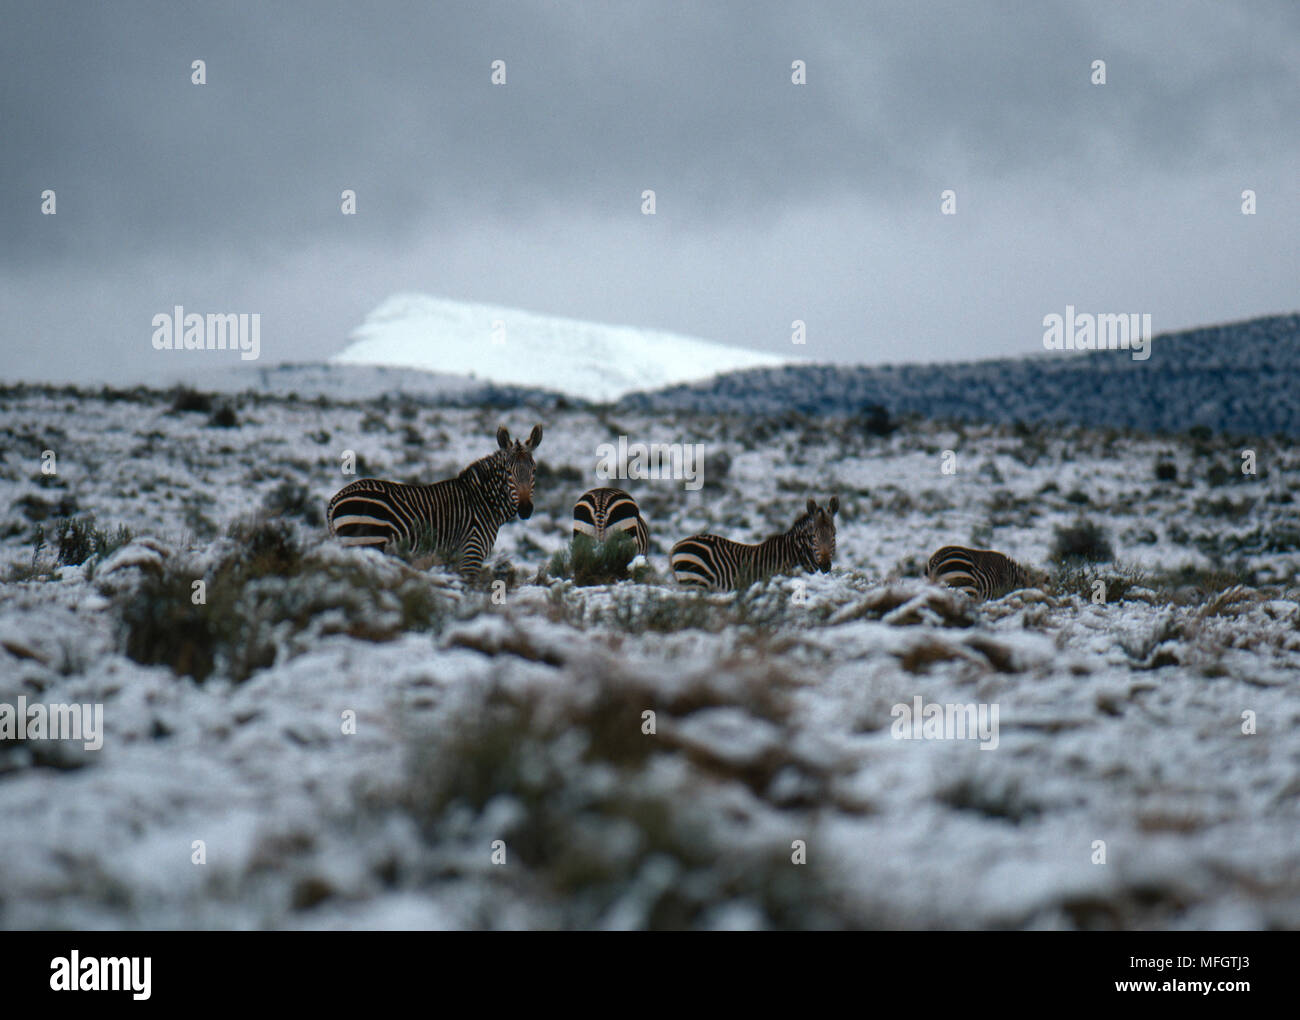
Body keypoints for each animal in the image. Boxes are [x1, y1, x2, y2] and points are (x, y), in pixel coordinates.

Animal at [326, 424, 543, 579]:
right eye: (508, 473)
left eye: (534, 471)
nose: (525, 510)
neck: (483, 501)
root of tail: (336, 498)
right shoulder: (471, 552)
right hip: (367, 542)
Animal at [670, 497, 838, 590]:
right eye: (813, 536)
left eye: (834, 535)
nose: (825, 566)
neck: (794, 553)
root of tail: (677, 545)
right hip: (696, 583)